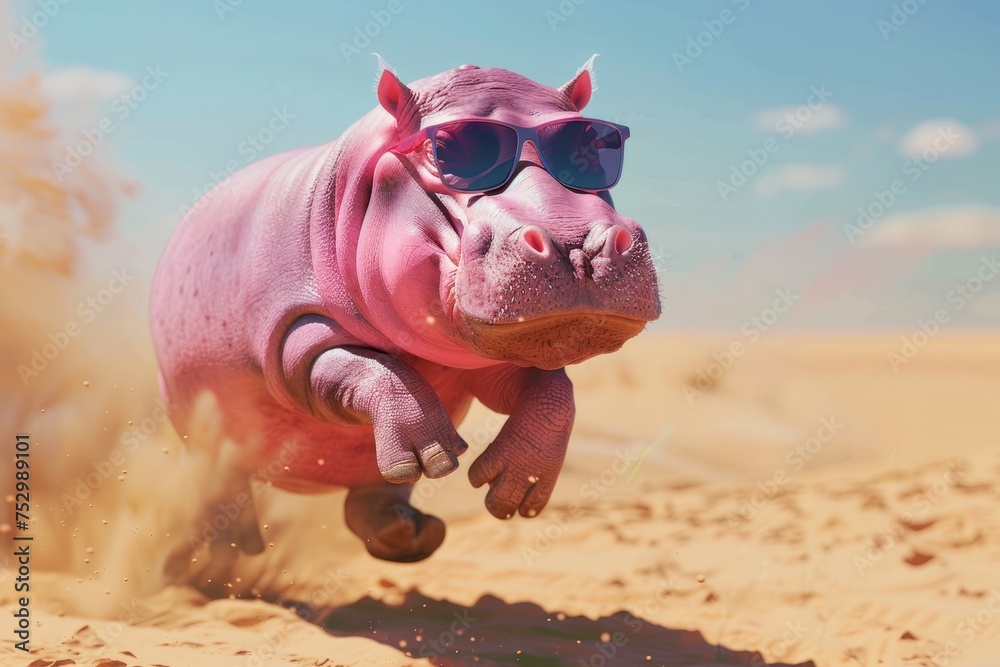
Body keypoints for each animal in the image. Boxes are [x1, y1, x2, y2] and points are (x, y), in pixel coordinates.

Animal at [150, 56, 660, 564]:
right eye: (449, 148)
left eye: (594, 144)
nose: (579, 246)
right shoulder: (295, 332)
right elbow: (368, 369)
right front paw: (437, 452)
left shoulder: (484, 357)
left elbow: (554, 390)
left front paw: (515, 494)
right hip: (197, 428)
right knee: (220, 485)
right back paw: (225, 557)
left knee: (374, 491)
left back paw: (411, 534)